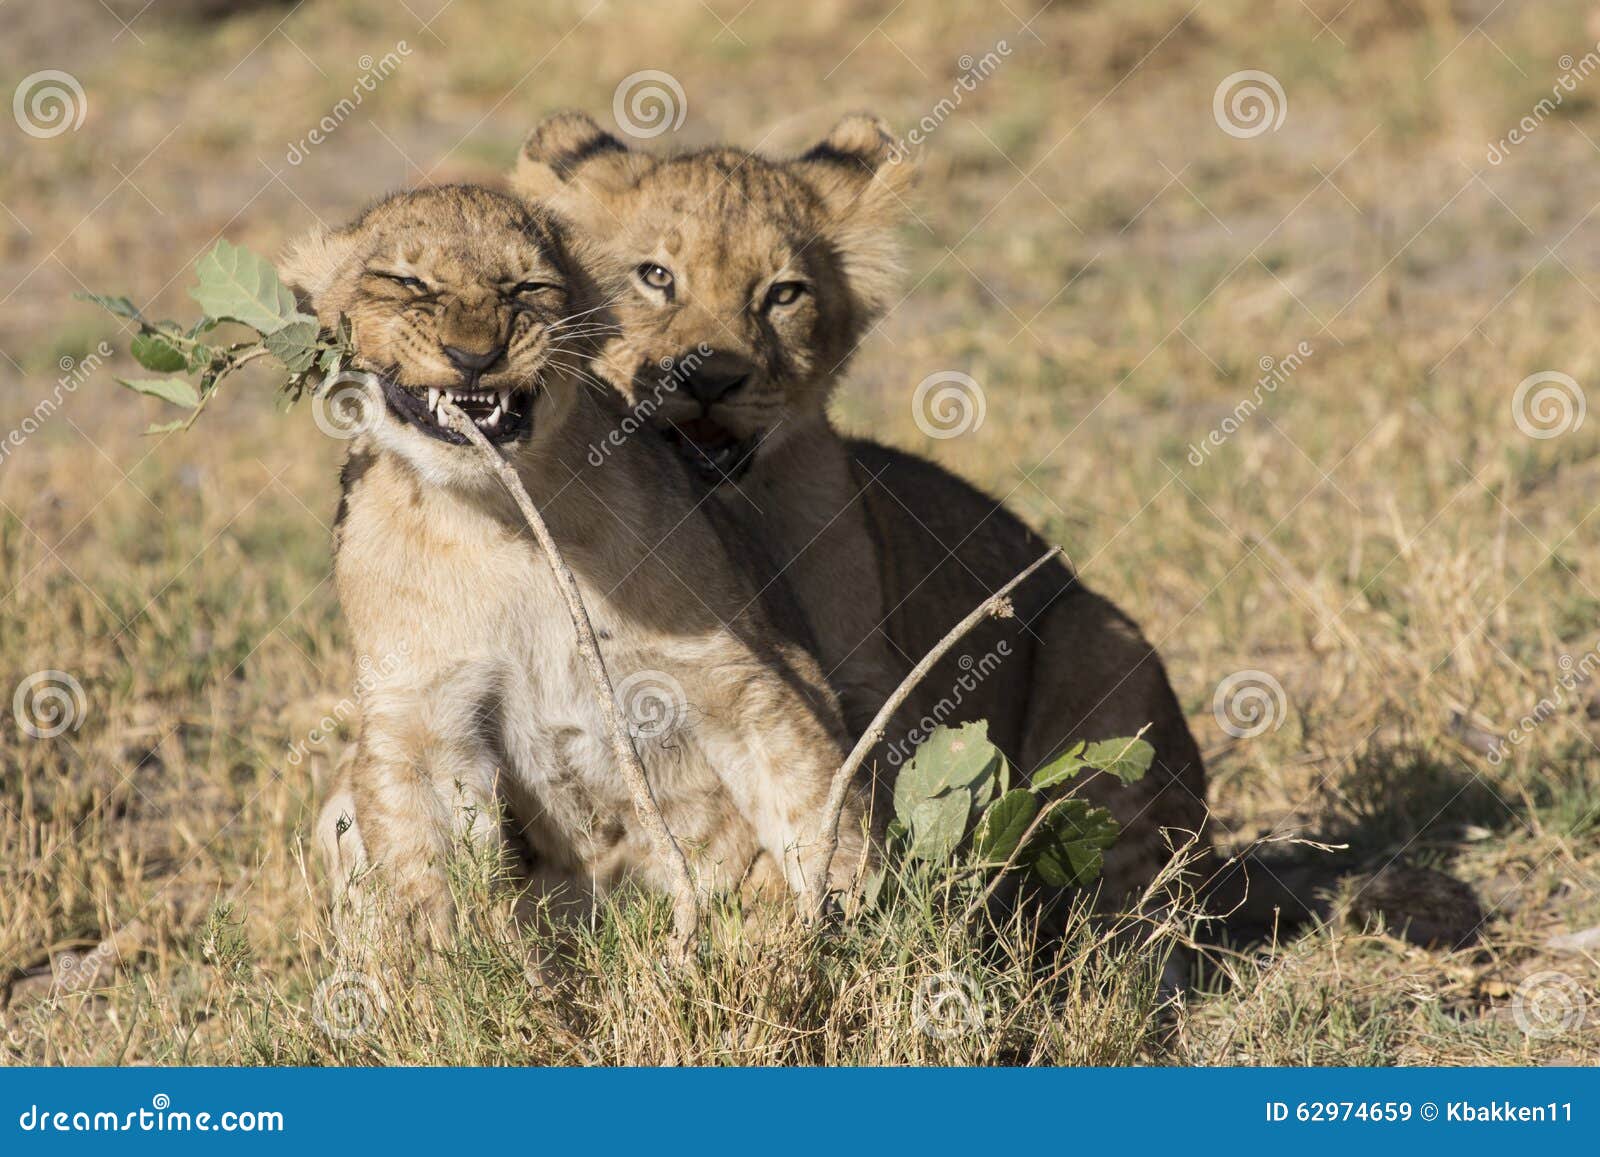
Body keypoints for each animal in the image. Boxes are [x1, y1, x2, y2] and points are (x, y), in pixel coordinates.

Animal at [281, 185, 870, 935]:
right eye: (406, 282)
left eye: (529, 286)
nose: (474, 355)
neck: (498, 515)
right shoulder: (421, 713)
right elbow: (425, 880)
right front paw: (443, 964)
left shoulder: (734, 666)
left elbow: (813, 792)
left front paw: (847, 926)